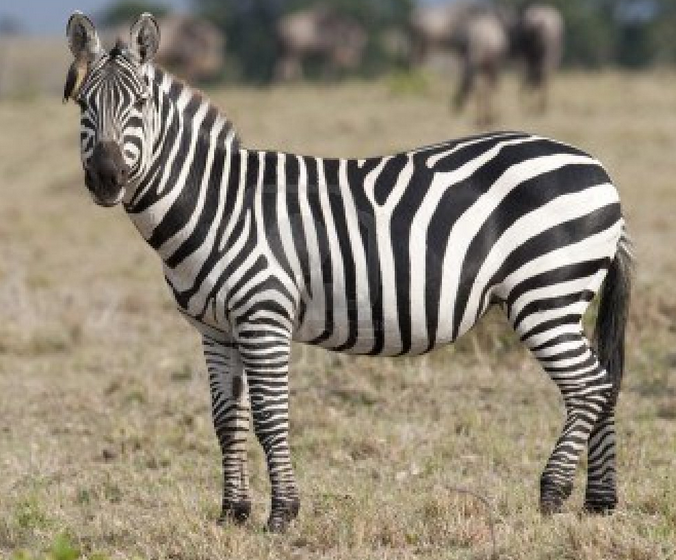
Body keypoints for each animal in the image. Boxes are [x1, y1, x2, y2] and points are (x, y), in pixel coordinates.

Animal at [64, 12, 632, 532]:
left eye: (140, 104)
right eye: (84, 106)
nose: (107, 177)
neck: (218, 205)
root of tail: (598, 168)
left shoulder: (264, 317)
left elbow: (269, 418)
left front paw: (282, 515)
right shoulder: (215, 331)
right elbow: (228, 421)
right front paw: (232, 514)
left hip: (546, 292)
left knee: (588, 386)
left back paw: (553, 493)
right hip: (563, 296)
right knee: (605, 383)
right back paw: (599, 501)